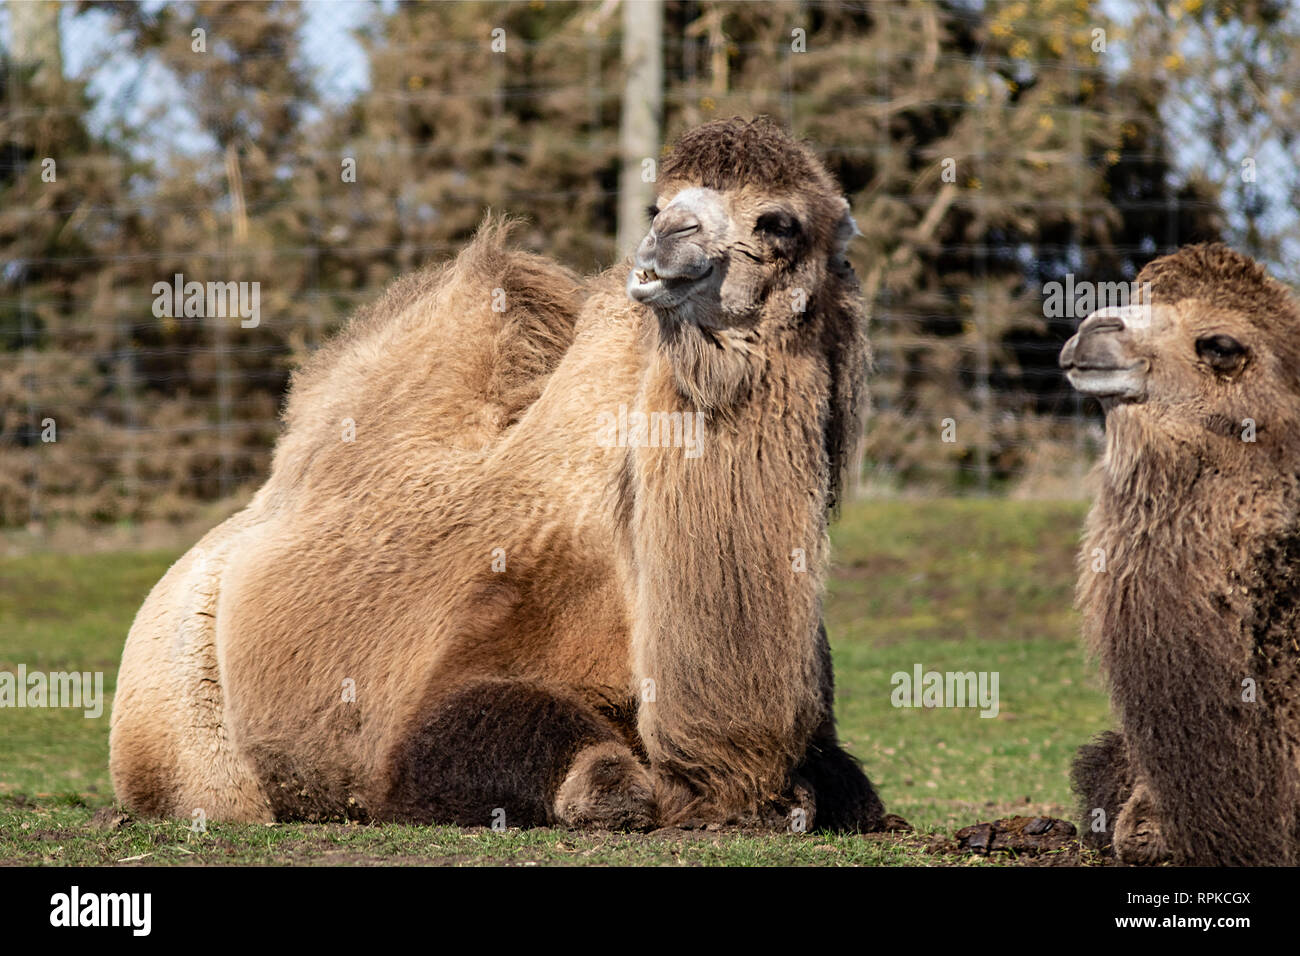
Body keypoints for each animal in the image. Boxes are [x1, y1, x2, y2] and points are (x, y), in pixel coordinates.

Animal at [109, 117, 887, 832]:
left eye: (778, 222)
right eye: (659, 202)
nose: (664, 239)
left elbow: (850, 794)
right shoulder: (445, 687)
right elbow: (593, 780)